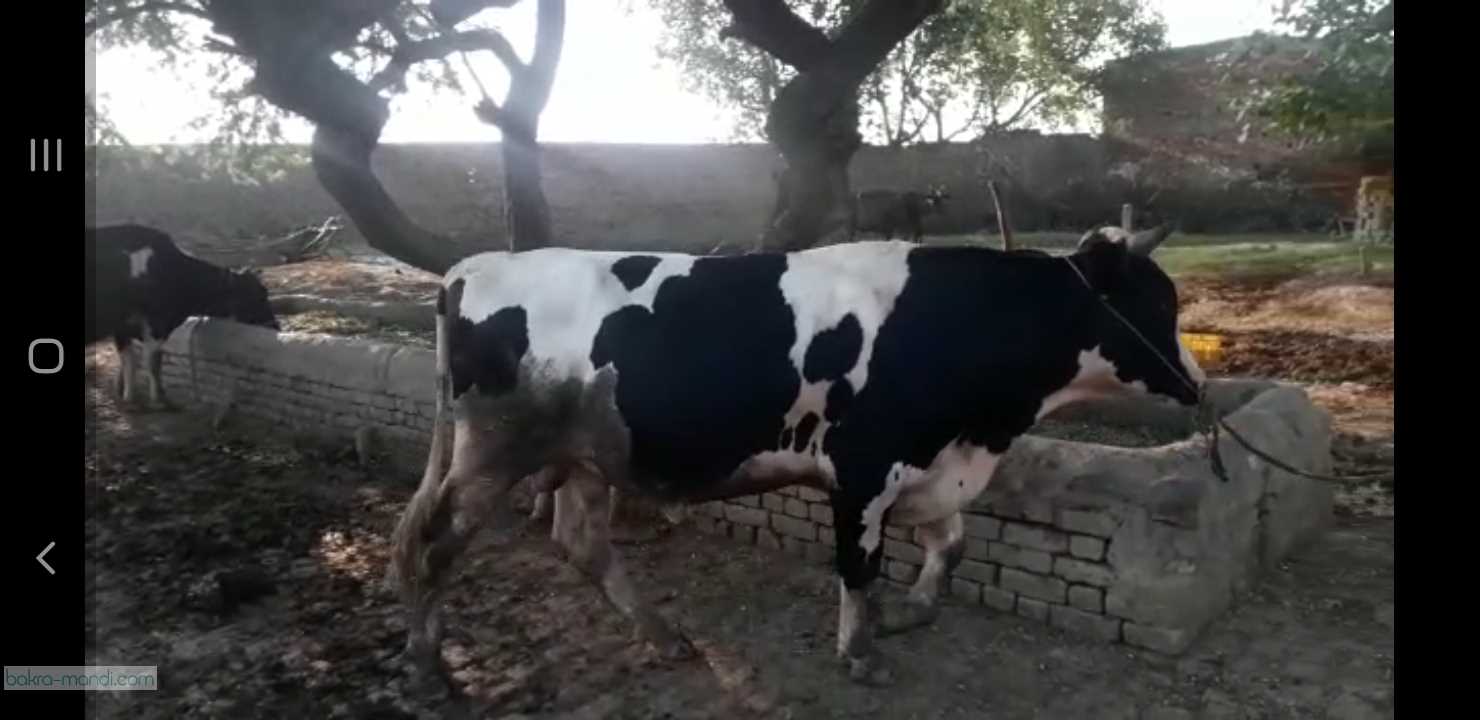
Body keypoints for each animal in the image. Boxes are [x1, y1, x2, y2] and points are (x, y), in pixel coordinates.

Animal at [88, 224, 279, 409]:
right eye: (256, 295)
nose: (275, 325)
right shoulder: (157, 323)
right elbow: (153, 361)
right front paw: (159, 400)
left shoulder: (122, 327)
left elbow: (130, 362)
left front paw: (129, 399)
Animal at [389, 225, 1204, 689]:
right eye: (1159, 306)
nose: (1198, 381)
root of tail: (472, 267)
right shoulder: (866, 467)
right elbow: (859, 565)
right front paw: (861, 652)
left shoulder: (931, 466)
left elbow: (951, 546)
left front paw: (908, 612)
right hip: (493, 450)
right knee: (434, 545)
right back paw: (427, 661)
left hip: (587, 454)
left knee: (582, 543)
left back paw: (664, 637)